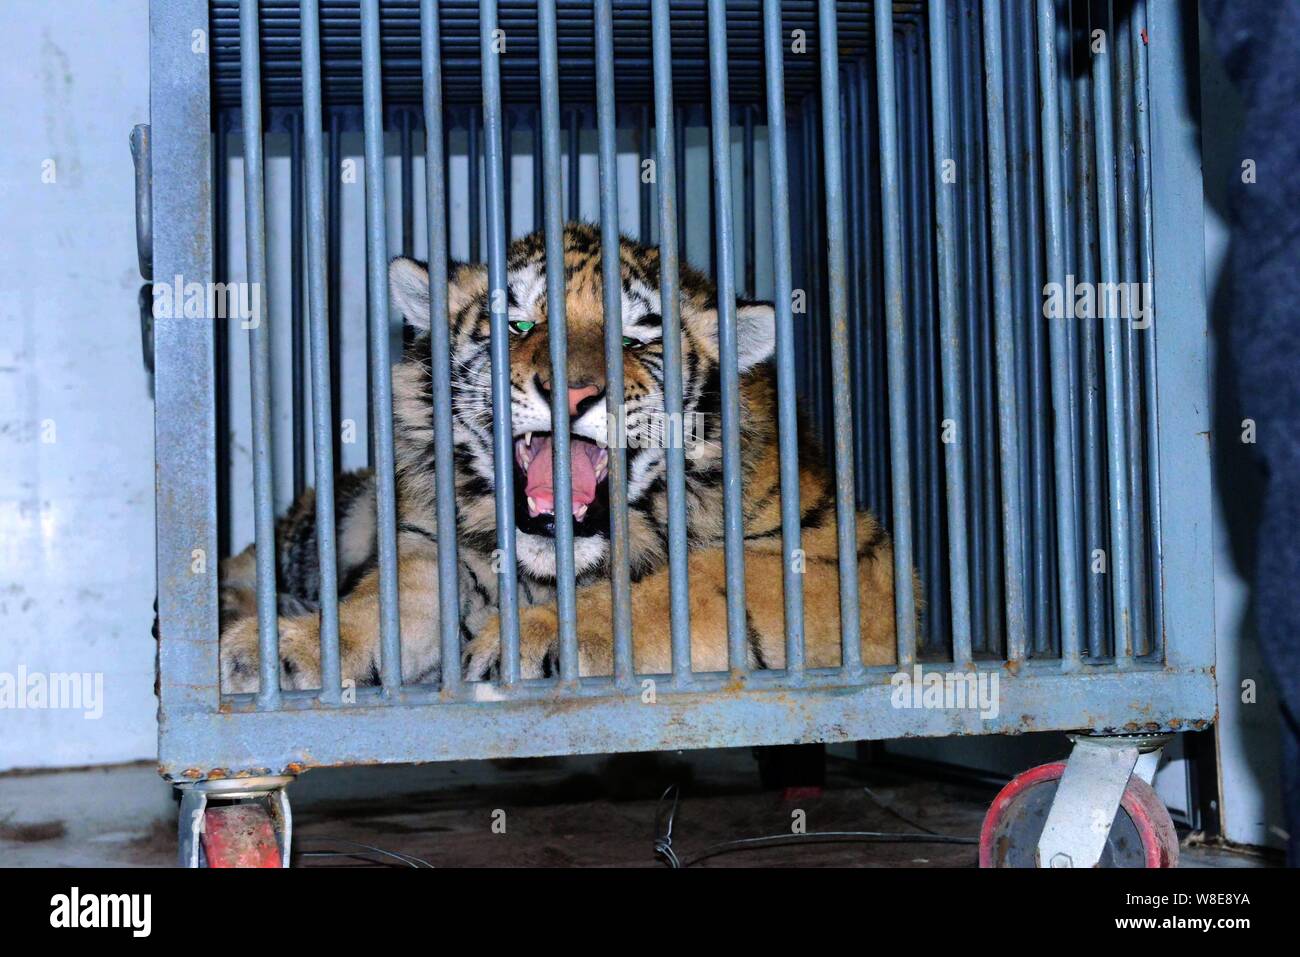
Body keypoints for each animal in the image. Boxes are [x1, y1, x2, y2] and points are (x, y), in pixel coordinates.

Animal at [218, 222, 905, 693]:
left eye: (634, 340)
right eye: (518, 326)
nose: (570, 393)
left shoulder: (840, 559)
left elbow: (686, 587)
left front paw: (533, 641)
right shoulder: (430, 549)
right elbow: (377, 604)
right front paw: (278, 649)